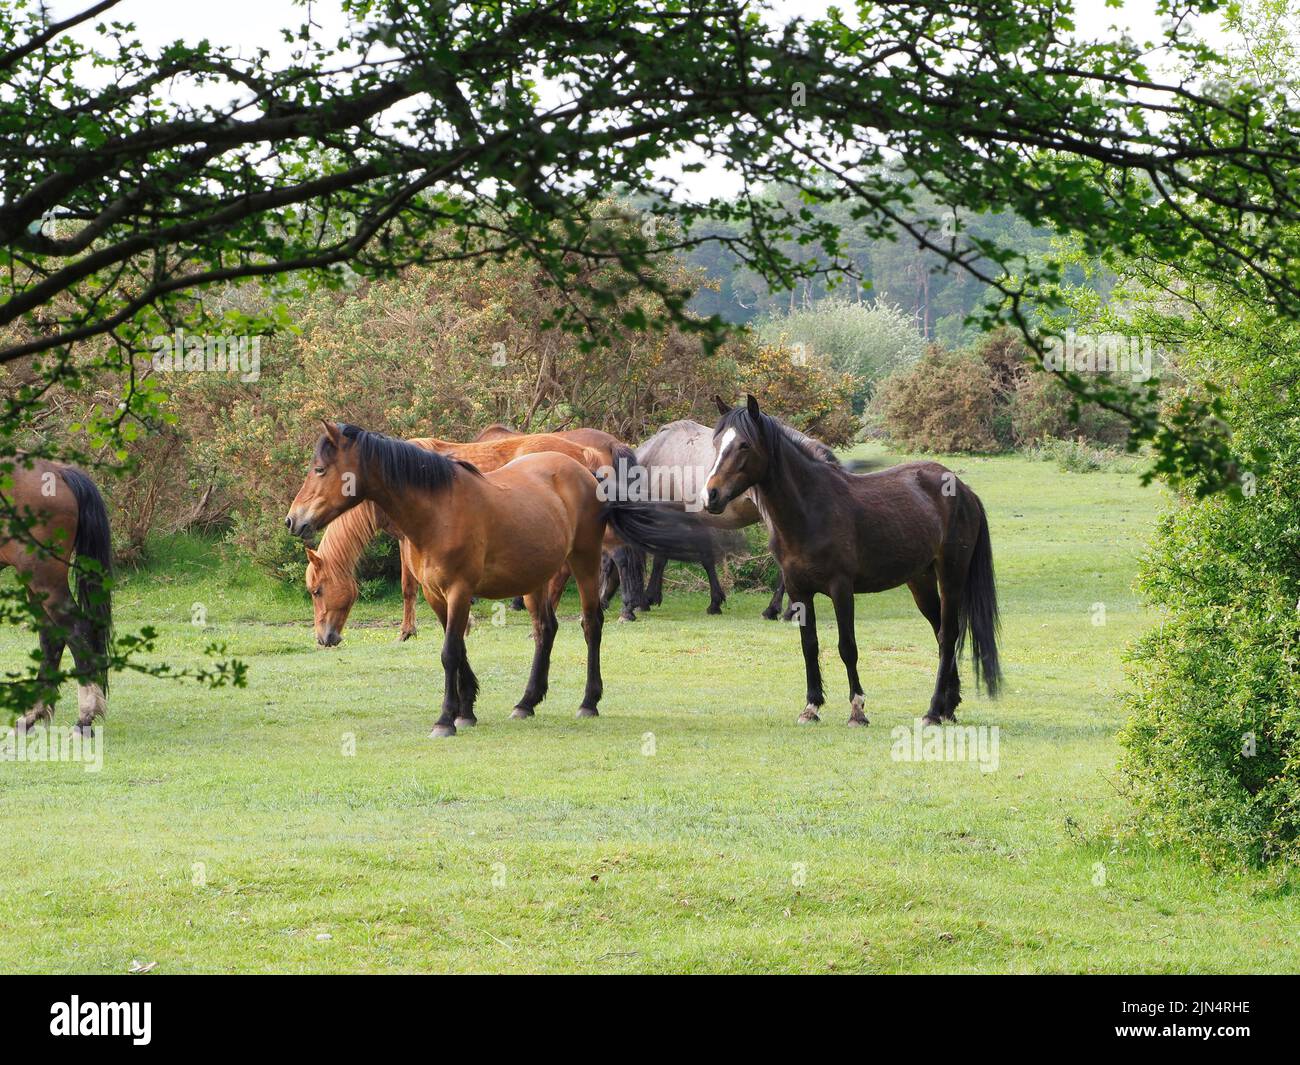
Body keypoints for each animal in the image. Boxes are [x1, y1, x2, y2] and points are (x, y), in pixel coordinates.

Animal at [1, 456, 113, 735]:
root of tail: (58, 472)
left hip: (45, 579)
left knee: (76, 630)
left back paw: (84, 717)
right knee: (51, 636)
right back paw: (31, 715)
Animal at [303, 430, 646, 645]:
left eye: (317, 591)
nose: (324, 639)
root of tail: (586, 451)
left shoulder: (408, 541)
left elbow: (408, 587)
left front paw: (409, 631)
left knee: (614, 559)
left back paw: (623, 610)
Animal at [703, 395, 1002, 727]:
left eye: (744, 445)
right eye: (716, 442)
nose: (710, 495)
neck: (810, 510)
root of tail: (963, 489)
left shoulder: (841, 589)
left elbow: (847, 647)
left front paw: (857, 710)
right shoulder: (798, 590)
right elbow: (809, 645)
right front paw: (811, 707)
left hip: (951, 576)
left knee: (949, 636)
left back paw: (933, 712)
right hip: (921, 582)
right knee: (940, 635)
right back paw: (949, 706)